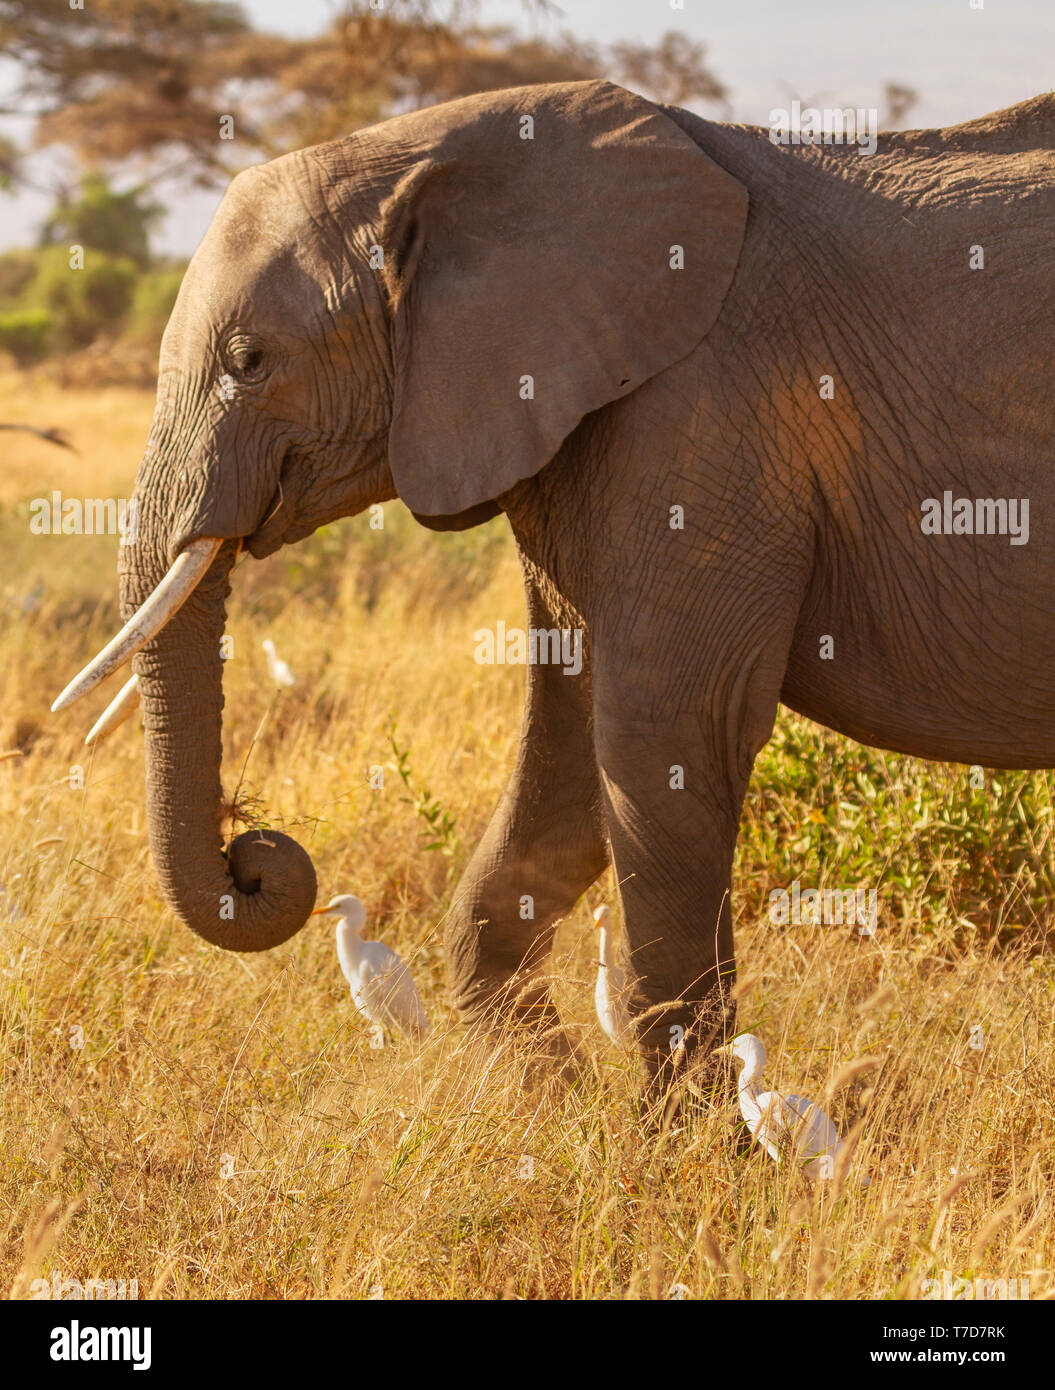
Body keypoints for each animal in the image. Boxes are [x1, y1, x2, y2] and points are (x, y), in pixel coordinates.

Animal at [53, 79, 1055, 1091]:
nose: (254, 857)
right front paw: (543, 1092)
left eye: (249, 361)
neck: (438, 160)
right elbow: (571, 744)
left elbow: (662, 734)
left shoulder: (699, 411)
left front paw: (676, 1130)